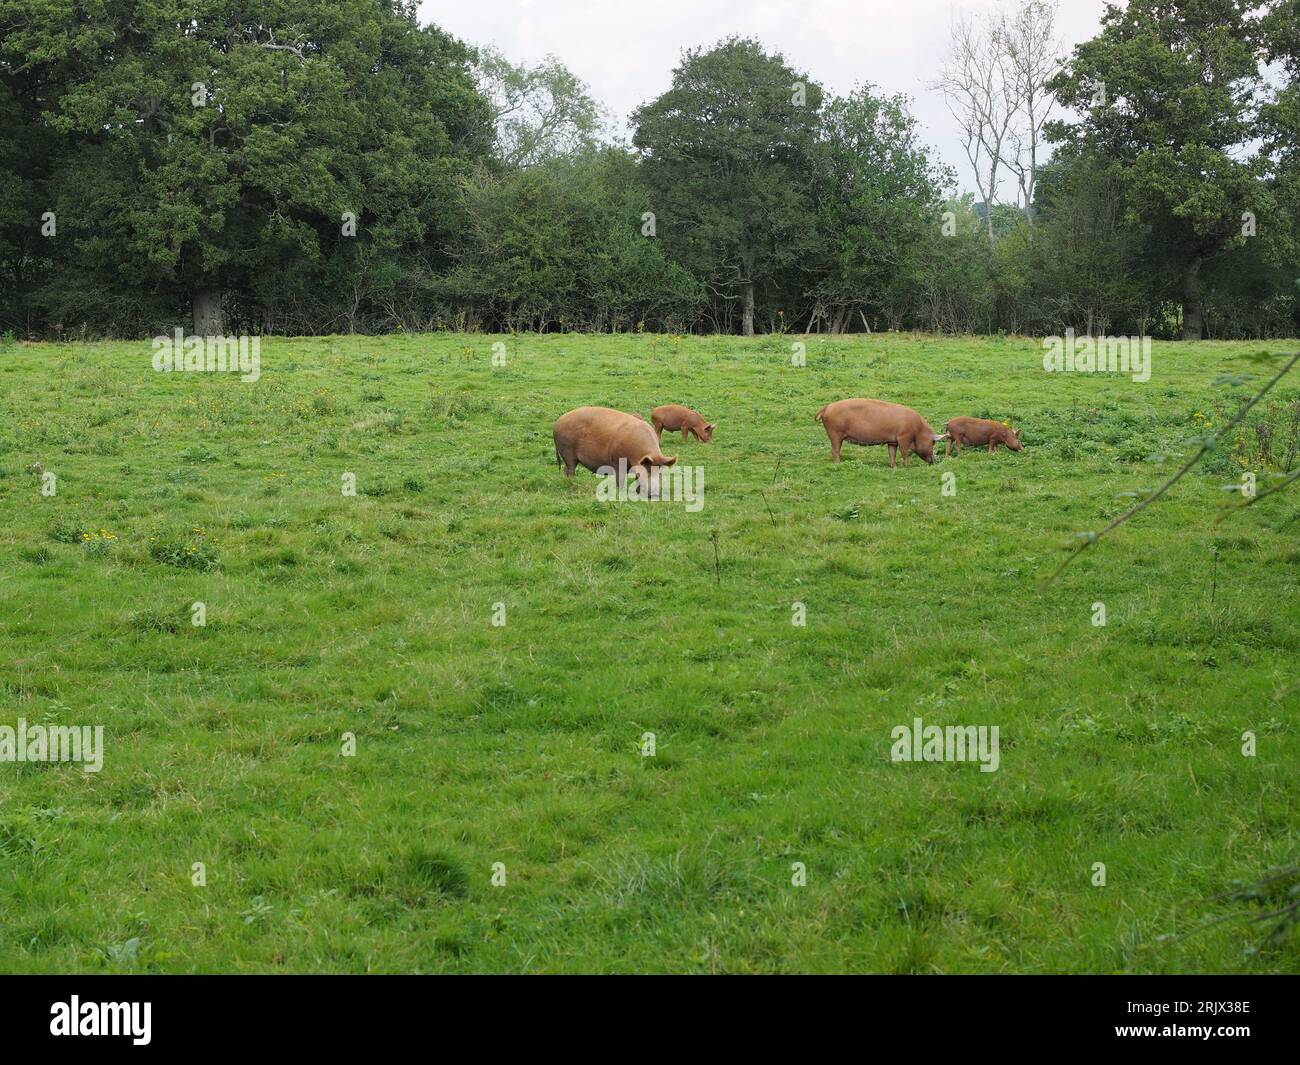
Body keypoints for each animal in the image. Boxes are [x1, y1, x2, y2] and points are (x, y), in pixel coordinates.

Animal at [815, 398, 946, 467]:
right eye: (933, 443)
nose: (935, 461)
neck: (918, 430)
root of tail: (827, 407)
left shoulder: (892, 441)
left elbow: (892, 453)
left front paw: (894, 467)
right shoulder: (903, 437)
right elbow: (905, 452)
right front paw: (907, 466)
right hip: (835, 433)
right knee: (835, 450)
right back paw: (838, 463)